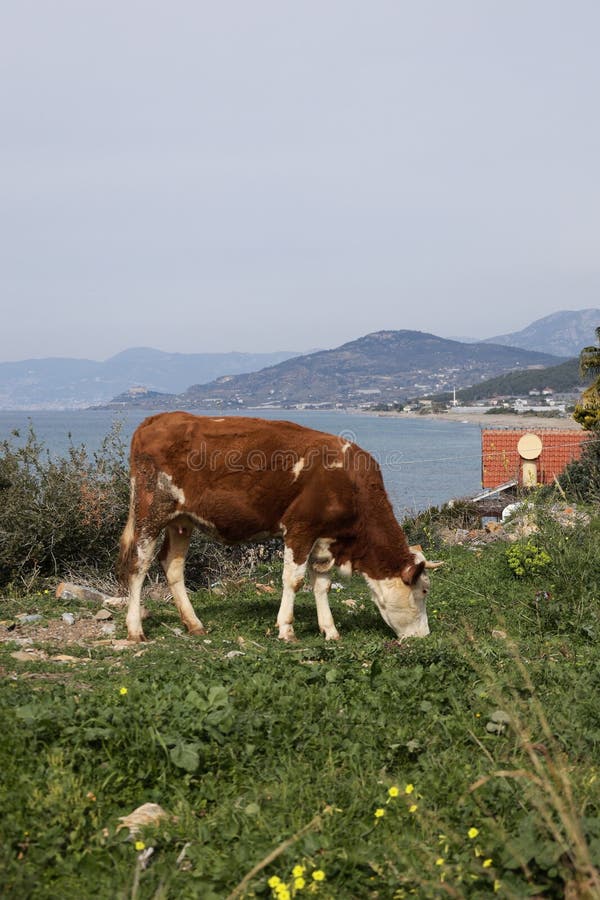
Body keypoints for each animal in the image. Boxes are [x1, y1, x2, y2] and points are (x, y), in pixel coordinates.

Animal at [118, 412, 442, 643]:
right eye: (424, 591)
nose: (424, 637)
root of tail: (157, 419)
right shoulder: (300, 529)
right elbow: (294, 580)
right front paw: (286, 629)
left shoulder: (325, 540)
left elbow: (321, 584)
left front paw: (330, 630)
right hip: (151, 510)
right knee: (138, 564)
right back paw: (135, 630)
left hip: (182, 520)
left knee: (172, 565)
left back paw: (194, 624)